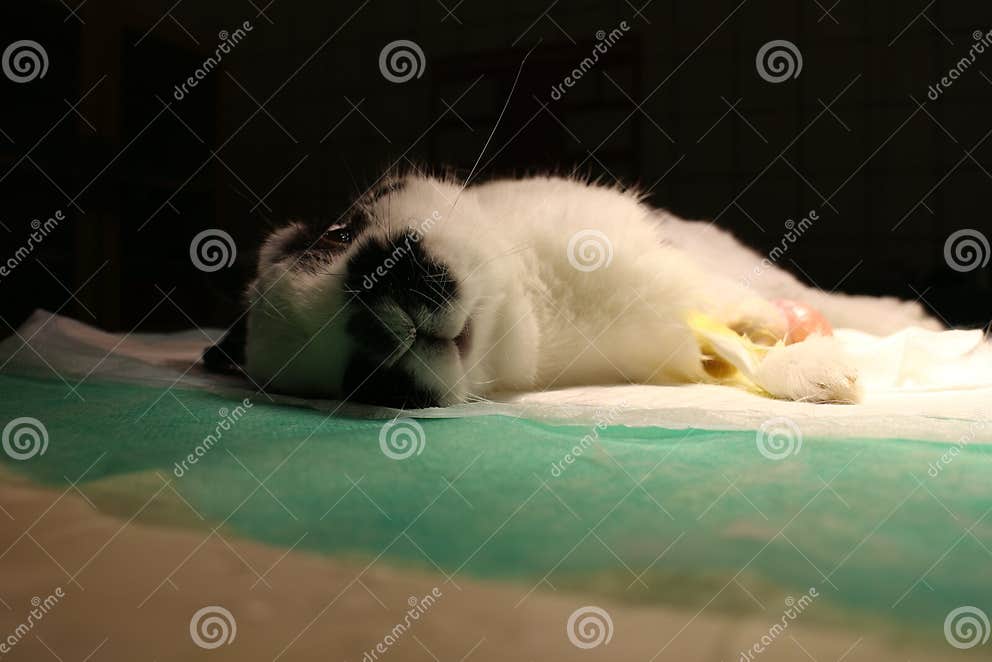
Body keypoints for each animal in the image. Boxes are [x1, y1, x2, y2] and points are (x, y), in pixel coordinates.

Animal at [205, 171, 940, 408]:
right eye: (358, 381)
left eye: (338, 231)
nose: (382, 320)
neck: (536, 314)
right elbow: (726, 353)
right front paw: (825, 375)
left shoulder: (676, 273)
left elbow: (740, 314)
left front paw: (819, 365)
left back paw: (912, 319)